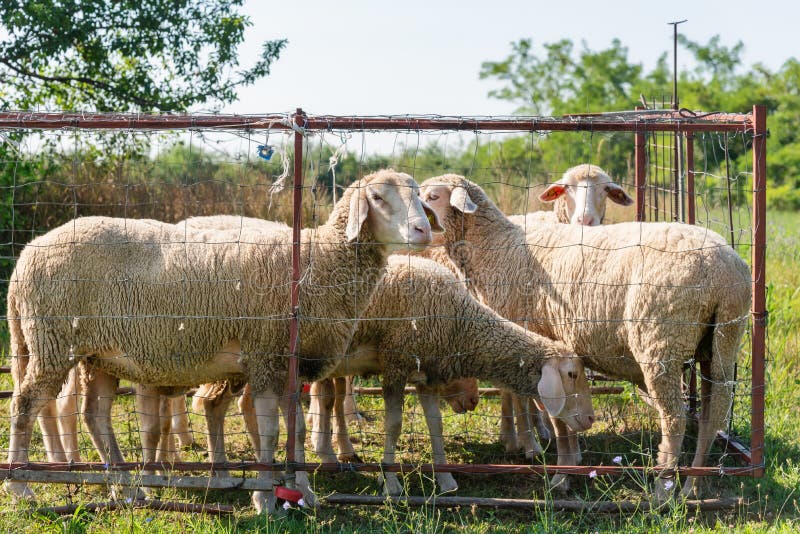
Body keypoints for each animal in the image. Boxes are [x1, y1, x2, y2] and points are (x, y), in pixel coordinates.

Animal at [5, 169, 441, 514]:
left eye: (420, 197)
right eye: (378, 198)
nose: (423, 231)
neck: (318, 261)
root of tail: (26, 254)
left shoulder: (290, 362)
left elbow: (296, 431)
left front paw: (303, 492)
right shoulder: (265, 354)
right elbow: (269, 430)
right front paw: (265, 497)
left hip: (98, 354)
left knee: (95, 415)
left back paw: (126, 489)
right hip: (53, 340)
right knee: (25, 404)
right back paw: (20, 486)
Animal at [419, 174, 751, 498]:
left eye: (432, 196)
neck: (495, 248)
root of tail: (722, 270)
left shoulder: (538, 342)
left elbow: (552, 413)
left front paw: (560, 473)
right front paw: (568, 461)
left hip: (660, 343)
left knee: (674, 418)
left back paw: (663, 487)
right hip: (722, 341)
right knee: (713, 414)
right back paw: (693, 484)